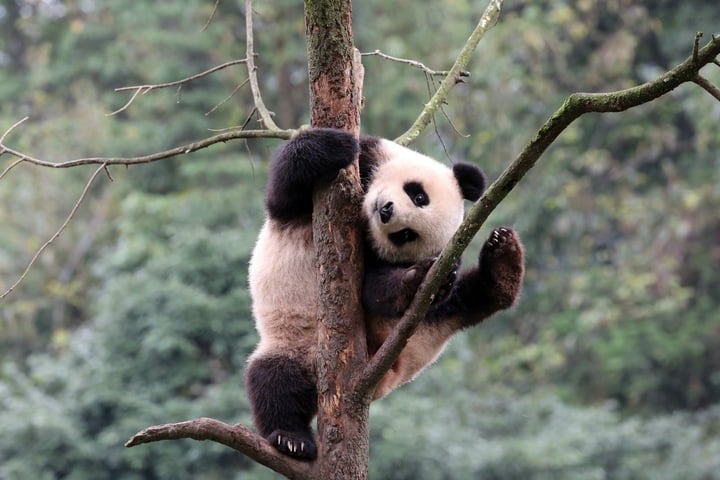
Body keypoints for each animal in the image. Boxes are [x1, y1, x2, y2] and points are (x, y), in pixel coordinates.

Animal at [245, 128, 524, 460]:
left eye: (406, 235)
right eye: (419, 196)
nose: (386, 211)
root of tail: (389, 373)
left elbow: (374, 288)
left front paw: (419, 278)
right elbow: (283, 195)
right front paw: (334, 146)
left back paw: (502, 267)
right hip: (294, 341)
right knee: (274, 380)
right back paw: (292, 440)